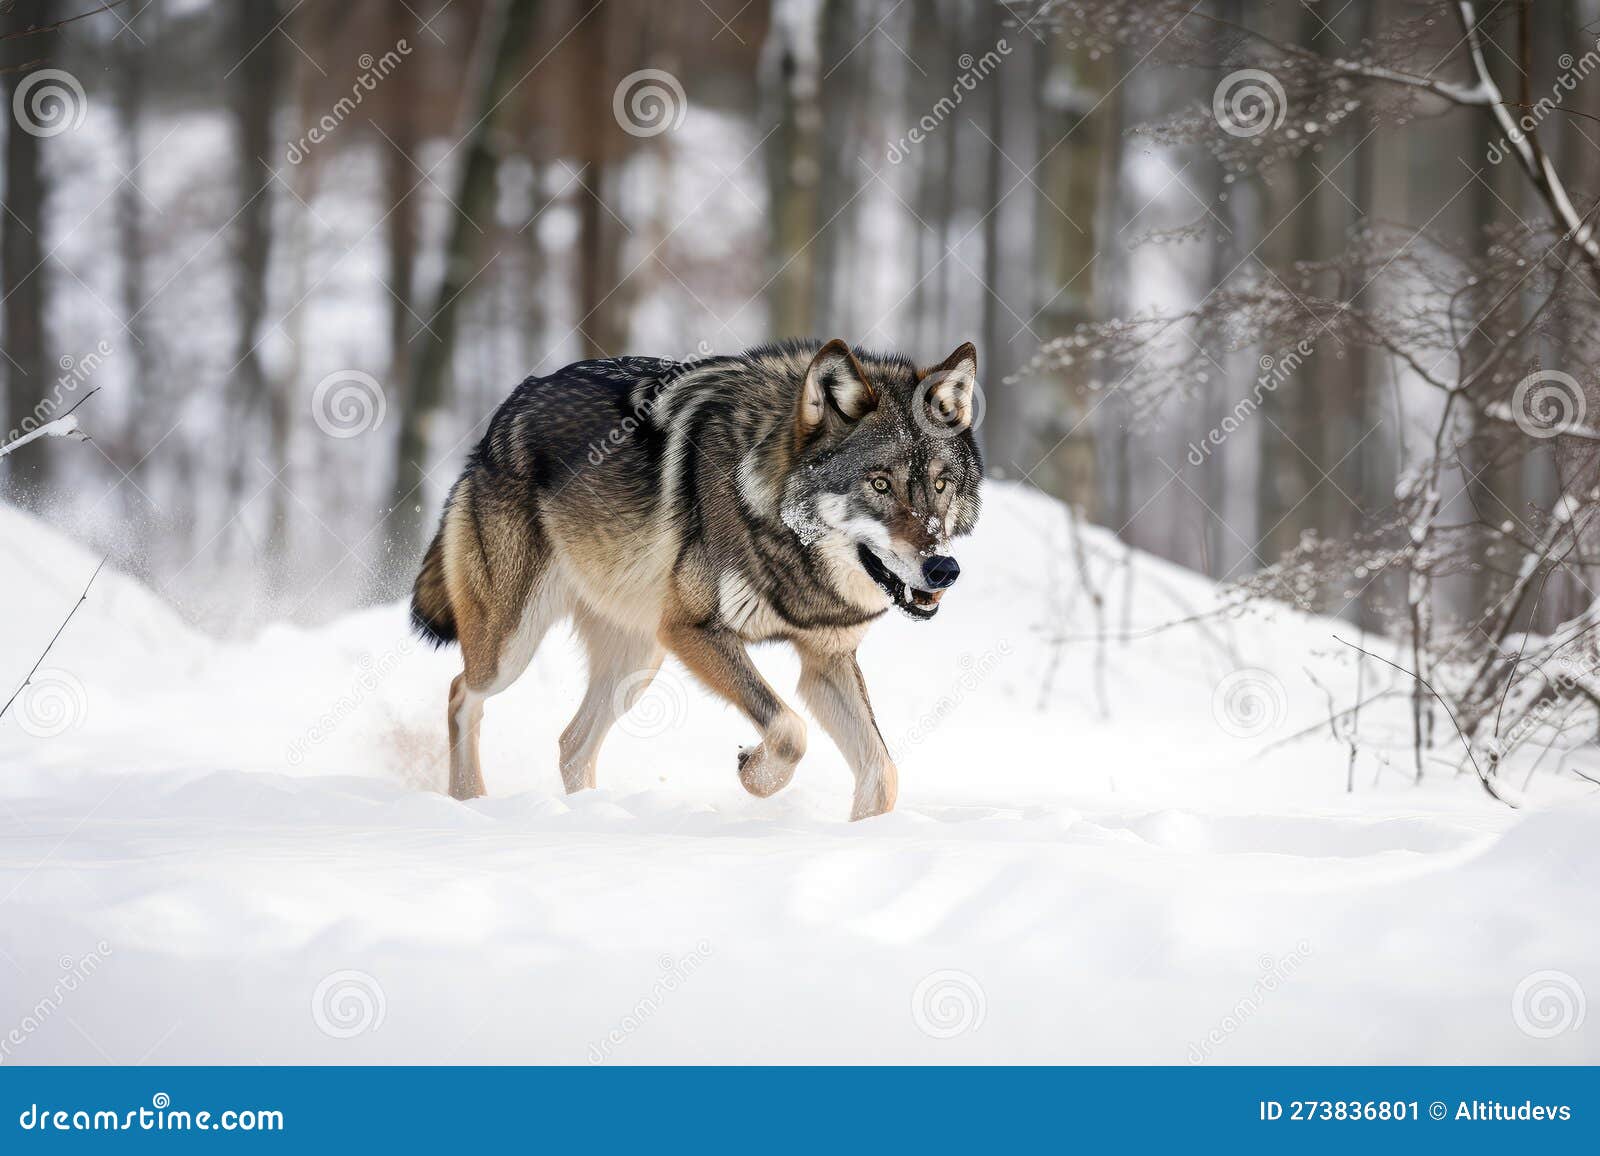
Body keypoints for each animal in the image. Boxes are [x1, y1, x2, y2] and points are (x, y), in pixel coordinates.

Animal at [410, 338, 982, 820]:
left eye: (940, 485)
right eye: (880, 484)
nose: (944, 569)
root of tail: (506, 410)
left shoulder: (827, 660)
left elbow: (882, 772)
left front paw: (864, 832)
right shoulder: (693, 630)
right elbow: (790, 730)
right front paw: (754, 776)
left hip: (637, 661)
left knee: (571, 744)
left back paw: (592, 816)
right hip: (514, 649)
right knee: (461, 694)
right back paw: (470, 802)